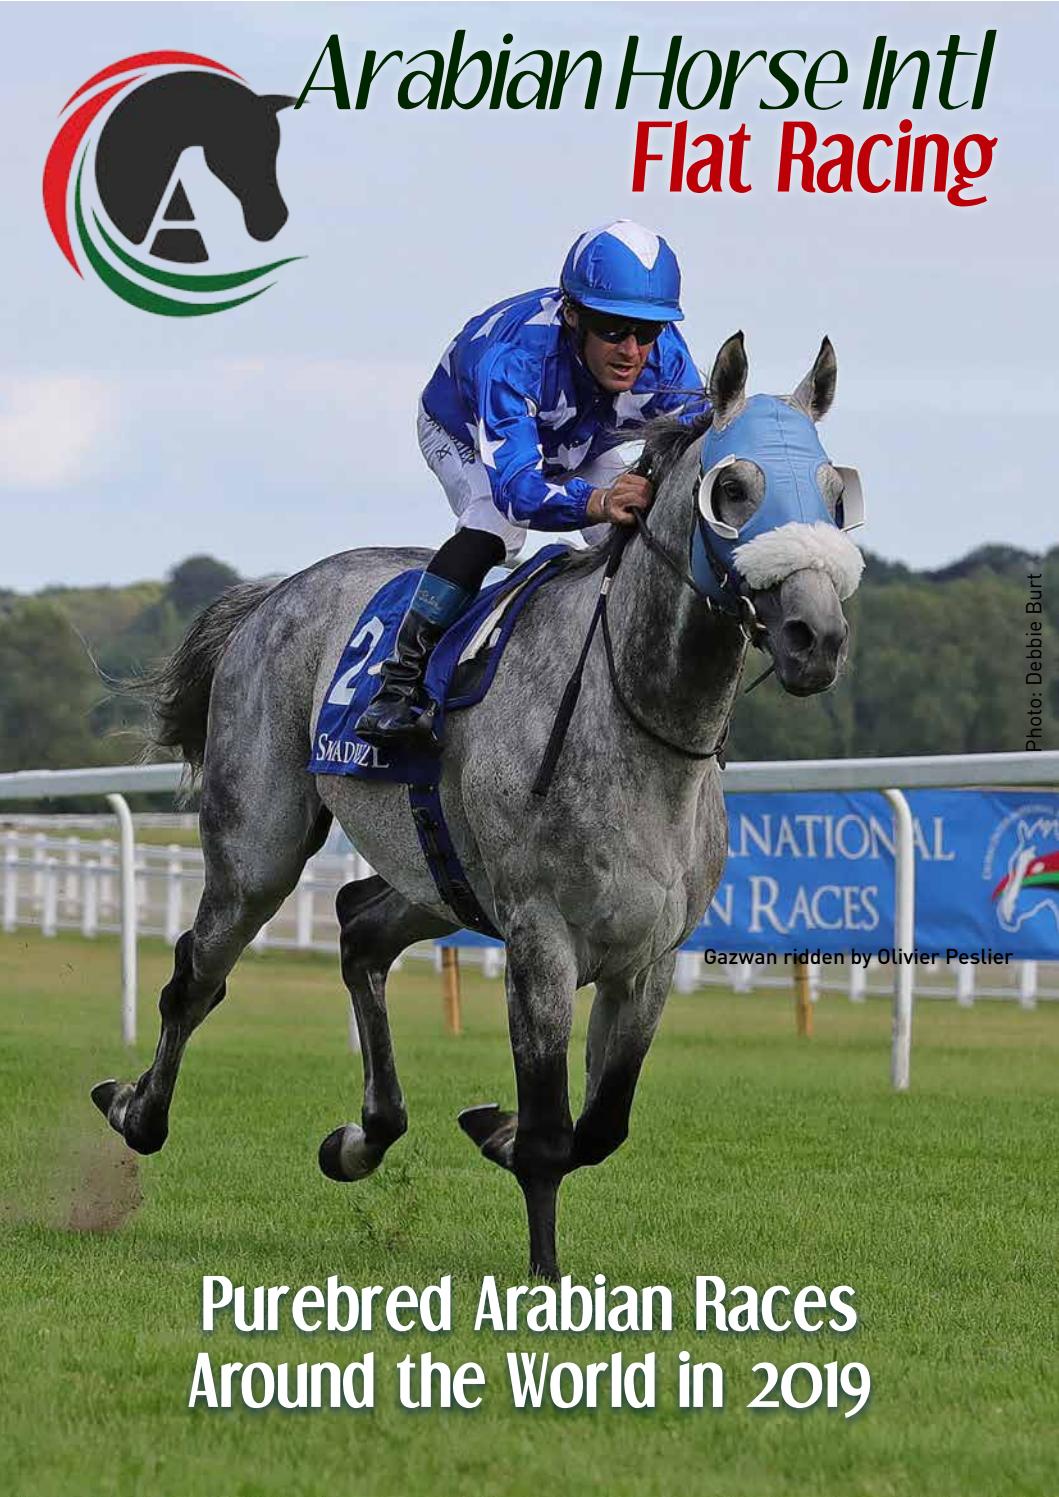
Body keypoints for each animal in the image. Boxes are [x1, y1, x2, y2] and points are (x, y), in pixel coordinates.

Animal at [92, 333, 865, 1280]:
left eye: (834, 492)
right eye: (732, 491)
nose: (814, 638)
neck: (635, 724)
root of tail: (274, 593)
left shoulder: (648, 958)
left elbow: (600, 1125)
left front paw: (489, 1127)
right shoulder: (539, 940)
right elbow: (549, 1134)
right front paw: (544, 1266)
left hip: (437, 876)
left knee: (358, 927)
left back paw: (362, 1136)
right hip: (258, 850)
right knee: (196, 974)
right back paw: (137, 1109)